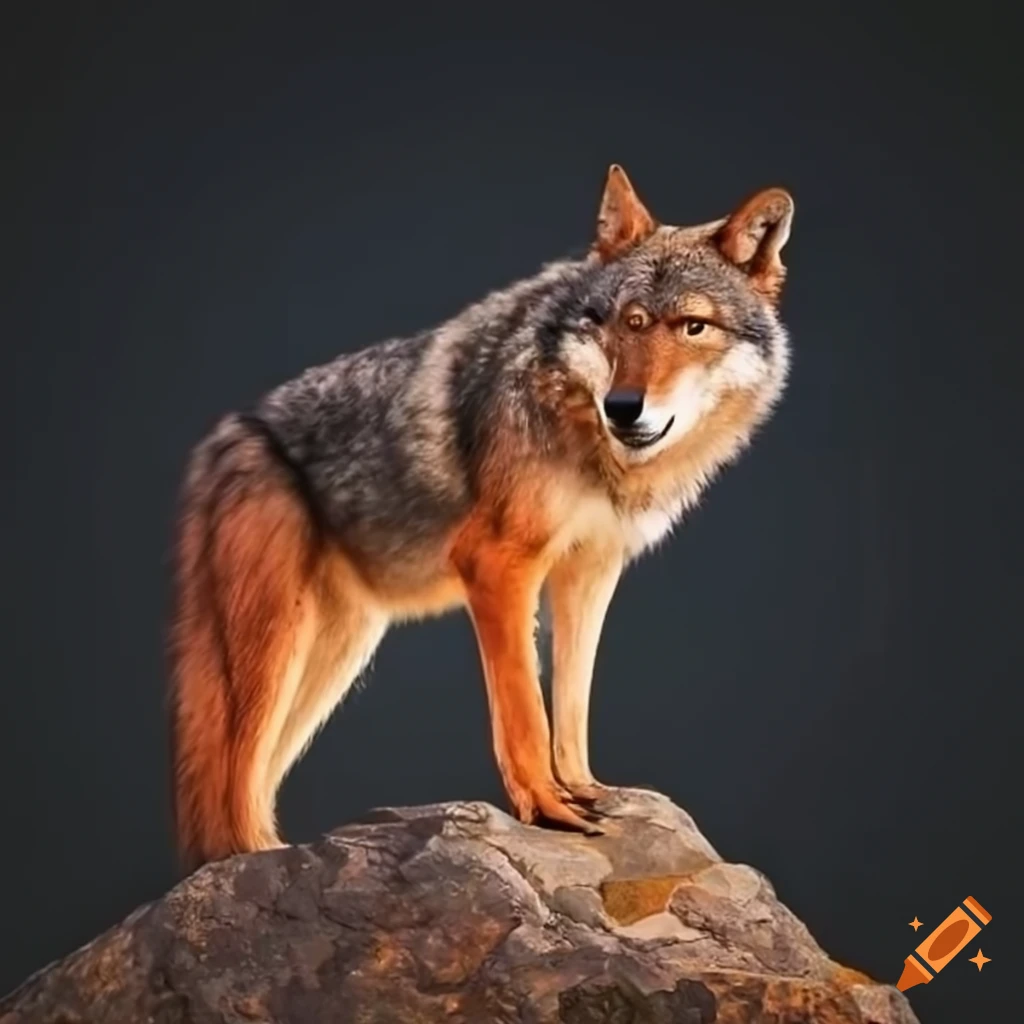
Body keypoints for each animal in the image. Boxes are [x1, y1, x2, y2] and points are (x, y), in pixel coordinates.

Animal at [168, 165, 795, 867]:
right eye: (623, 322)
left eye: (692, 327)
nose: (623, 407)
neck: (583, 435)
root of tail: (223, 437)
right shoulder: (498, 563)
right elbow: (523, 707)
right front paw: (547, 808)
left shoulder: (590, 571)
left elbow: (570, 702)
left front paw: (584, 789)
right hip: (274, 652)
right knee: (231, 790)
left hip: (334, 656)